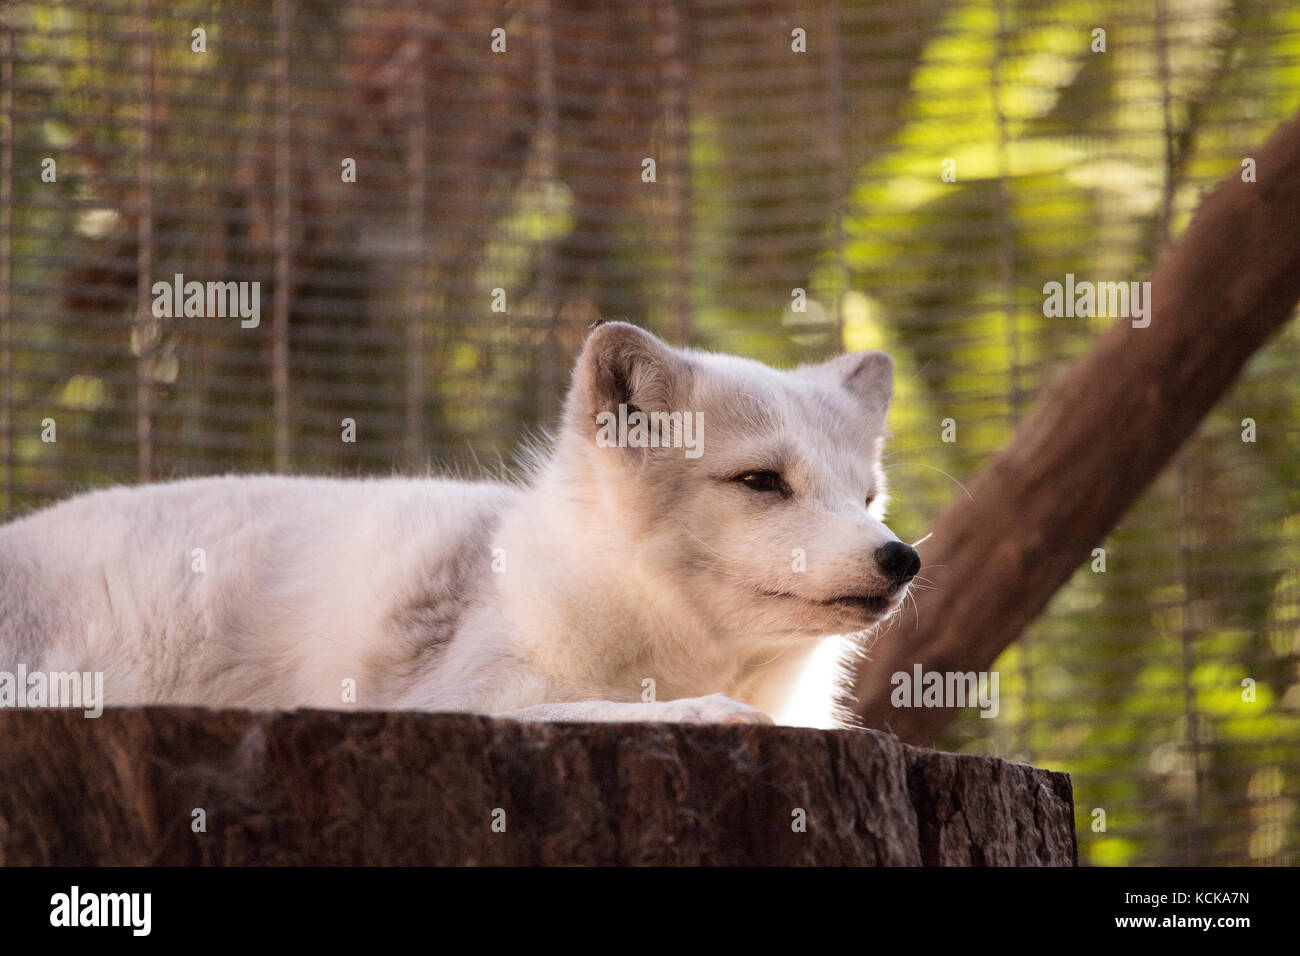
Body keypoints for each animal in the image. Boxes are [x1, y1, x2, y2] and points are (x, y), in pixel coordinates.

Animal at [0, 322, 920, 727]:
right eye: (761, 481)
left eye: (867, 498)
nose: (900, 558)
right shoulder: (449, 699)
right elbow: (605, 711)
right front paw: (704, 713)